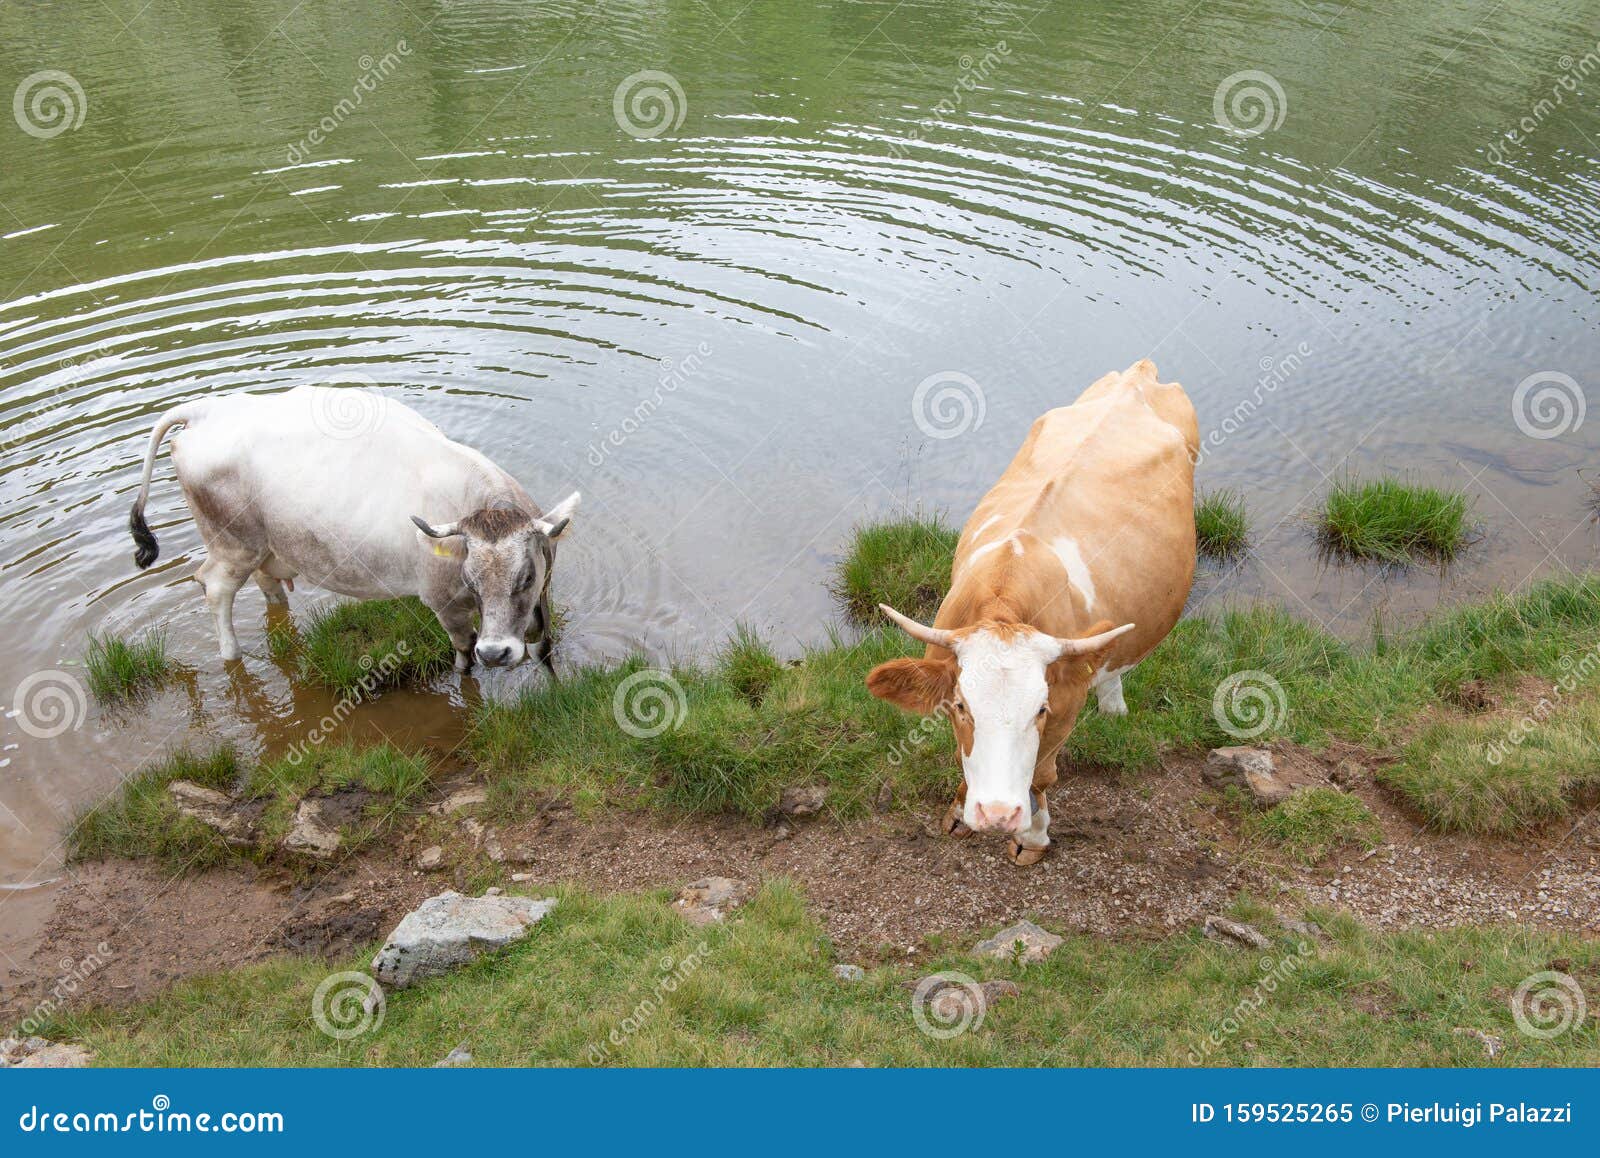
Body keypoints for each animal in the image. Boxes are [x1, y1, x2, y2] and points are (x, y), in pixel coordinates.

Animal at [127, 385, 579, 673]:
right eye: (471, 578)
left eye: (526, 577)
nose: (497, 654)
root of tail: (206, 411)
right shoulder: (445, 604)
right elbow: (464, 657)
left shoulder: (543, 599)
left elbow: (545, 648)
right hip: (232, 544)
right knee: (215, 589)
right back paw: (231, 656)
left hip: (265, 544)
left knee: (265, 582)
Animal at [866, 360, 1197, 866]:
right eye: (962, 706)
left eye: (1040, 709)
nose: (998, 813)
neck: (1006, 602)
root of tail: (1138, 374)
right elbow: (962, 757)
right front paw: (960, 811)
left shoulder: (1066, 706)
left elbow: (1042, 776)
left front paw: (1033, 836)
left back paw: (1113, 706)